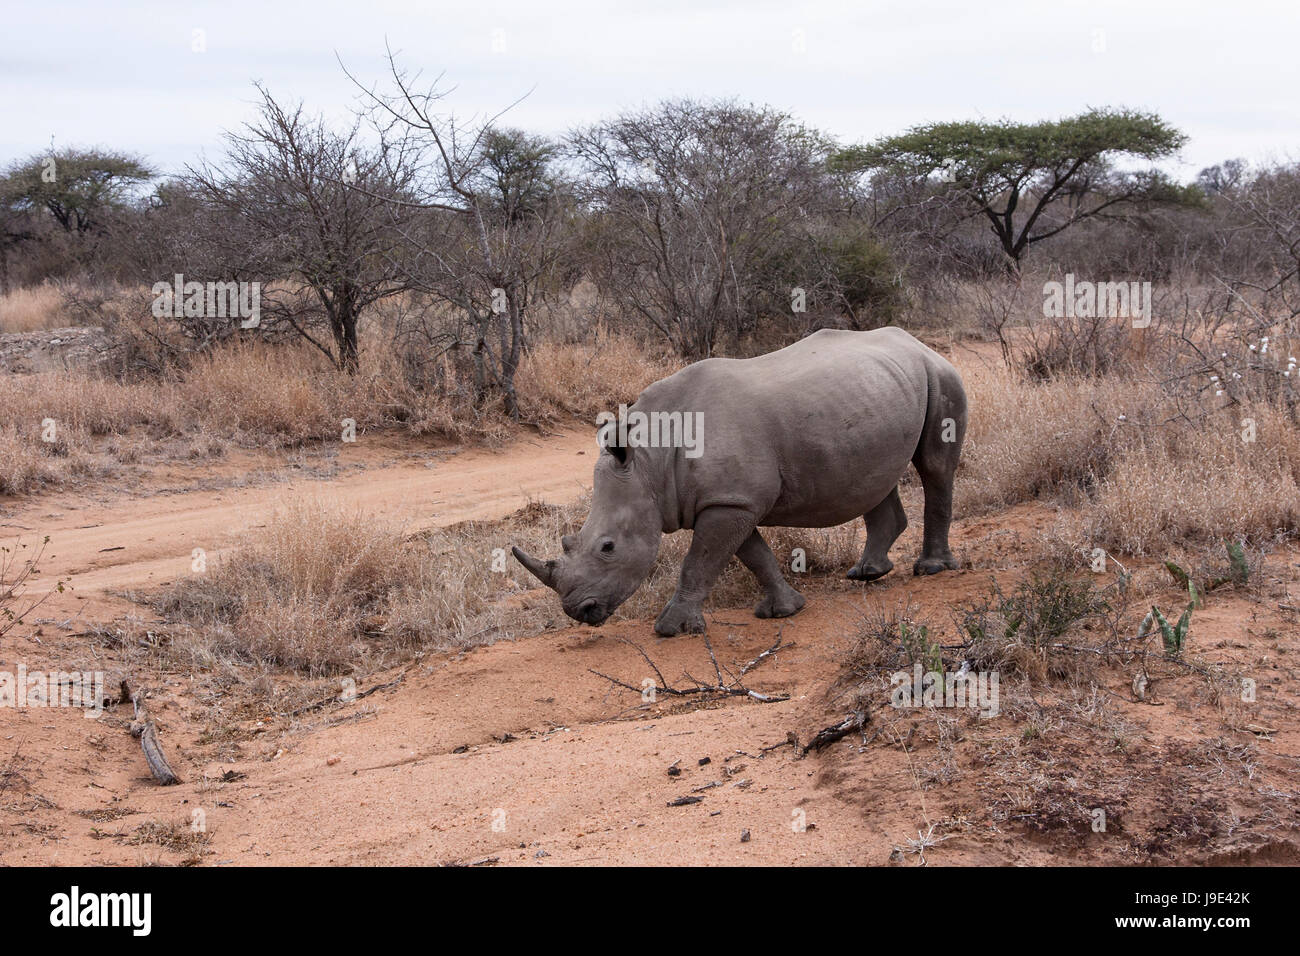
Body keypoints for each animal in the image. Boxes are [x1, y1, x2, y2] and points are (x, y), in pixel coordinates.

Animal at [513, 327, 967, 636]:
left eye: (607, 547)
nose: (579, 611)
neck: (649, 464)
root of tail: (917, 342)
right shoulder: (730, 500)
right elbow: (752, 555)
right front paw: (784, 610)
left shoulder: (730, 501)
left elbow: (699, 562)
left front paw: (670, 629)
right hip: (880, 389)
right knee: (874, 478)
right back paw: (867, 573)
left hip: (941, 375)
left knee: (935, 467)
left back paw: (931, 569)